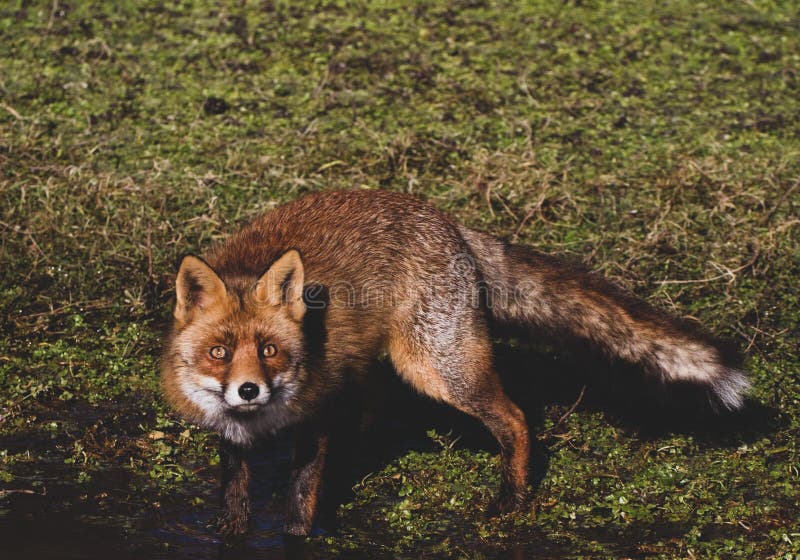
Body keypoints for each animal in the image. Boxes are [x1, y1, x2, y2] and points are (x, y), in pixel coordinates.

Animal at [161, 189, 749, 537]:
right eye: (218, 352)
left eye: (270, 350)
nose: (249, 391)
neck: (266, 417)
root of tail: (449, 220)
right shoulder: (232, 433)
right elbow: (234, 496)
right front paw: (230, 532)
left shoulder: (317, 413)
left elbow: (300, 501)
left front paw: (300, 533)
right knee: (374, 407)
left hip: (438, 366)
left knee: (515, 420)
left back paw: (509, 501)